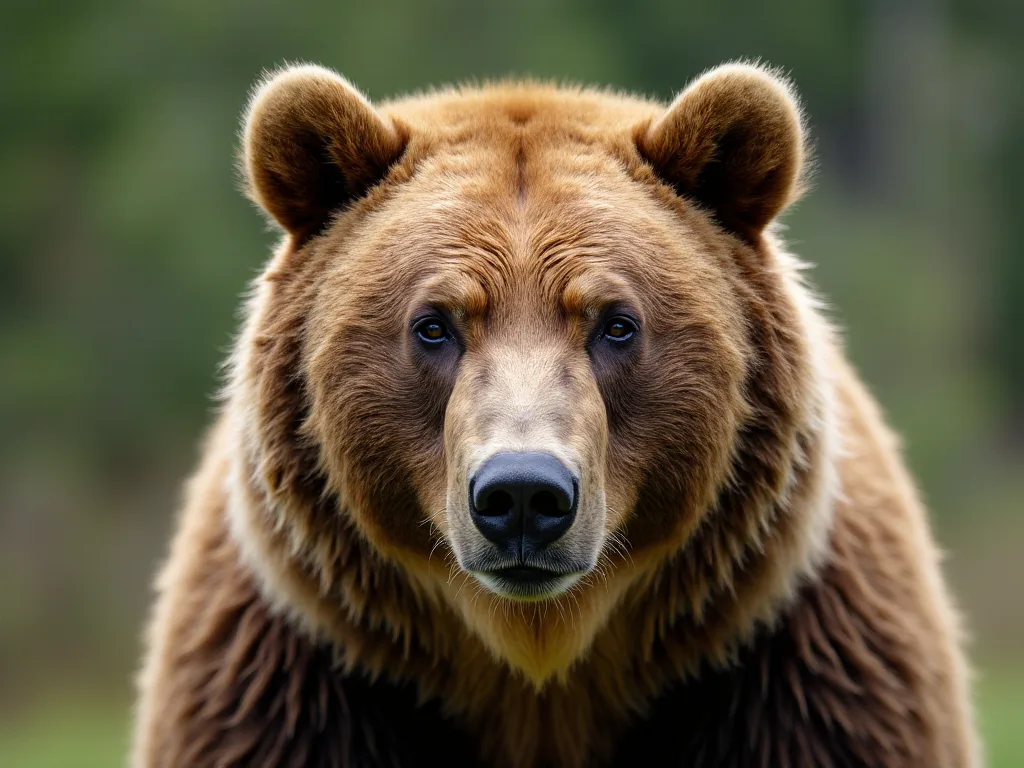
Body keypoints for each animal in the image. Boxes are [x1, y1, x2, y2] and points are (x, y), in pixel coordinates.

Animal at [131, 62, 979, 767]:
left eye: (615, 323)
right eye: (434, 324)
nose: (522, 495)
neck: (540, 668)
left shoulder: (800, 677)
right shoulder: (292, 683)